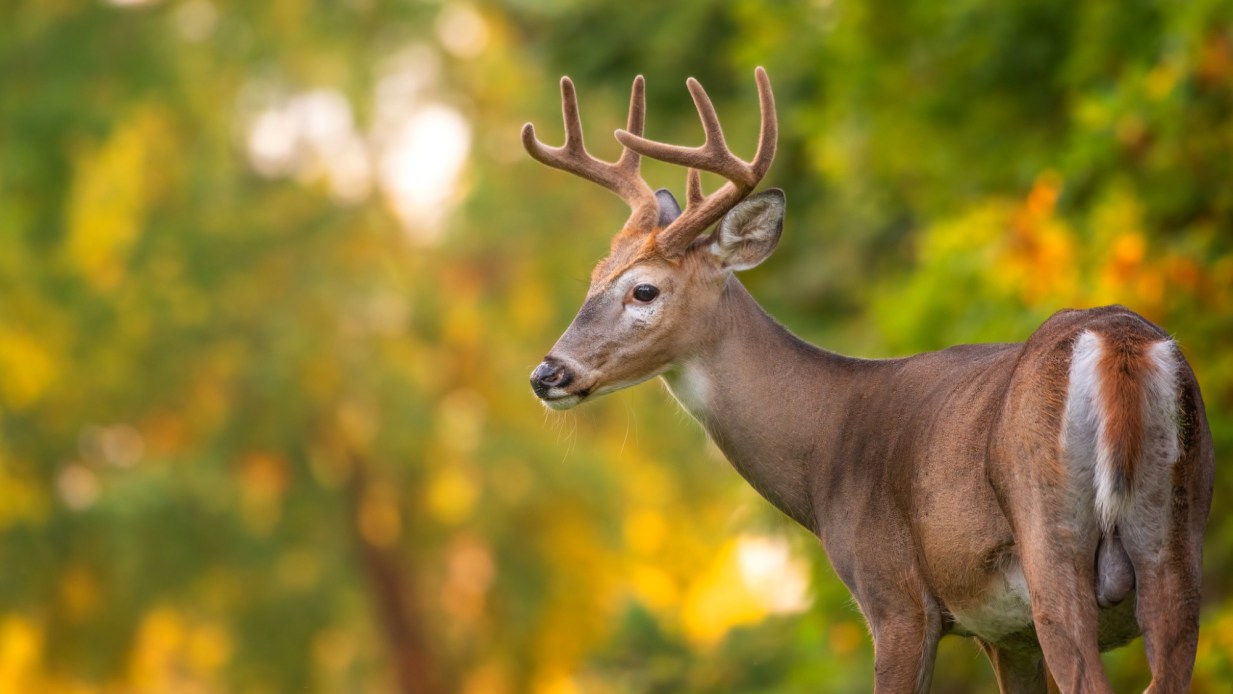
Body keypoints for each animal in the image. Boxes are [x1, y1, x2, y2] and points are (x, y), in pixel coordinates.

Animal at [522, 67, 1213, 693]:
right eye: (593, 277)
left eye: (644, 290)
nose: (546, 373)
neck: (826, 447)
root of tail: (1117, 341)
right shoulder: (1004, 633)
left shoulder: (895, 596)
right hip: (1177, 539)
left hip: (1050, 536)